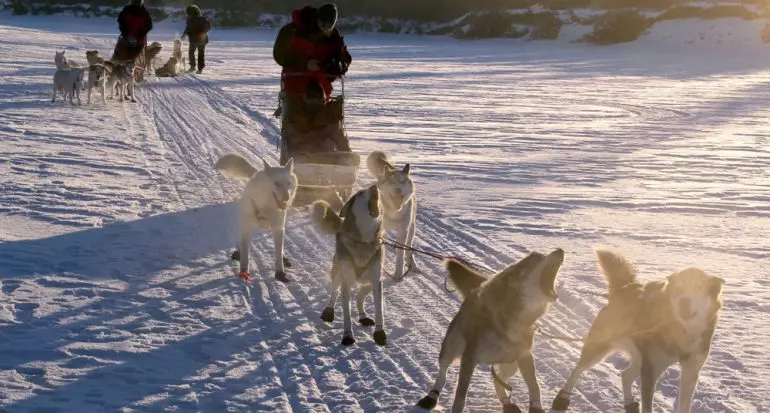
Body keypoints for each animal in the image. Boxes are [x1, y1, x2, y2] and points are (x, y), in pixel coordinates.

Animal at [216, 154, 300, 284]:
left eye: (288, 183)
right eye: (276, 183)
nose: (287, 198)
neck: (265, 207)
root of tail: (259, 171)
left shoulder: (278, 229)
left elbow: (278, 253)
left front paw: (280, 272)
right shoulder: (247, 227)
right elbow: (245, 255)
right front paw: (244, 272)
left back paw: (284, 257)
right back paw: (239, 251)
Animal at [310, 185, 388, 346]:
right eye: (360, 193)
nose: (374, 186)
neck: (364, 241)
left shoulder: (377, 281)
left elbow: (379, 311)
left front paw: (379, 333)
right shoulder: (346, 281)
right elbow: (346, 313)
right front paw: (347, 335)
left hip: (370, 282)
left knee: (359, 296)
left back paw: (363, 316)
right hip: (338, 274)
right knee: (335, 291)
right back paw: (329, 310)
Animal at [366, 150, 420, 278]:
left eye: (402, 182)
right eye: (391, 182)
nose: (397, 190)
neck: (393, 212)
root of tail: (393, 168)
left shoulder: (403, 231)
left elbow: (401, 254)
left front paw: (398, 274)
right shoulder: (379, 231)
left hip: (411, 228)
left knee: (409, 248)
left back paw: (412, 264)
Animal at [414, 248, 564, 412]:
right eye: (535, 258)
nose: (560, 250)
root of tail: (479, 287)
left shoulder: (525, 356)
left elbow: (535, 386)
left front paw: (536, 406)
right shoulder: (469, 358)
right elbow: (460, 397)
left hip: (511, 364)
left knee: (498, 379)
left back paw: (507, 402)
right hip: (451, 347)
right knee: (443, 374)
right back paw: (432, 396)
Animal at [552, 248, 720, 412]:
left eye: (699, 288)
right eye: (677, 289)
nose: (684, 303)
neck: (682, 331)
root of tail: (626, 288)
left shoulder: (690, 371)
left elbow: (685, 405)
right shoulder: (651, 371)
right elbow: (648, 406)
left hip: (640, 358)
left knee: (625, 375)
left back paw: (630, 403)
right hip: (600, 348)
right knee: (578, 369)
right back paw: (562, 398)